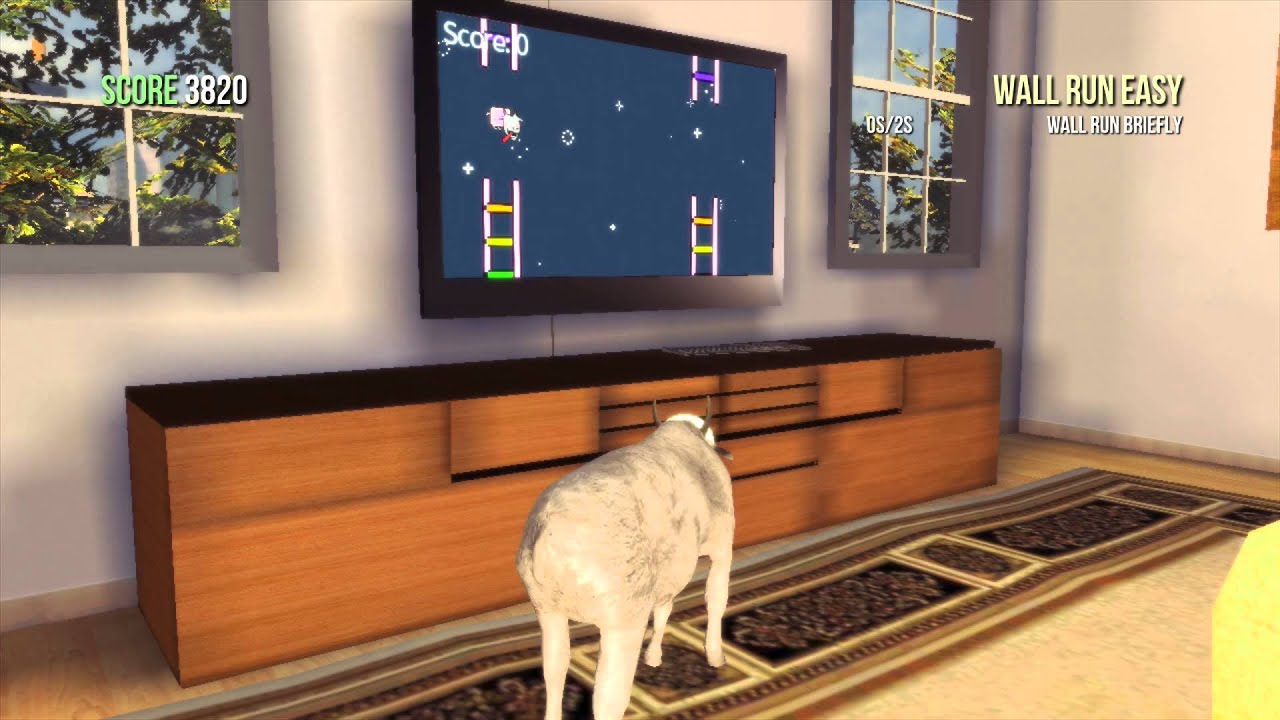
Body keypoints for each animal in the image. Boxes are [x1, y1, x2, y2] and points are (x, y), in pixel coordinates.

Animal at [516, 397, 735, 720]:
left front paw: (654, 656)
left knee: (554, 671)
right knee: (608, 699)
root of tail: (549, 537)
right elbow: (717, 600)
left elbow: (664, 609)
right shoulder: (722, 547)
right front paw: (715, 655)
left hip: (548, 609)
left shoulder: (668, 569)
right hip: (622, 620)